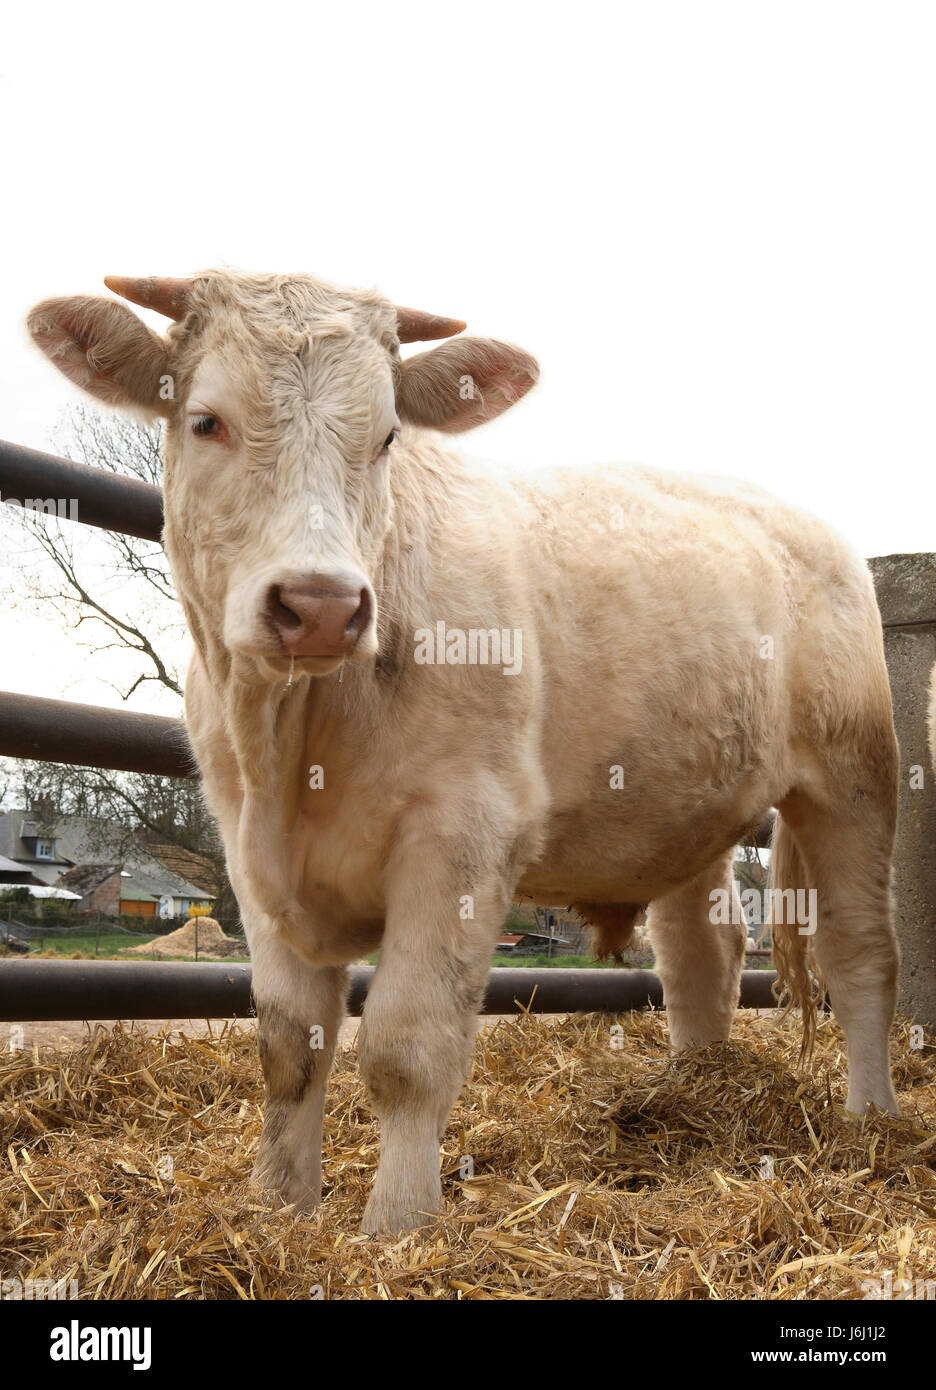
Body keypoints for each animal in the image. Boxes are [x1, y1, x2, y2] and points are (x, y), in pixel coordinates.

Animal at [27, 271, 901, 1234]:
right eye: (206, 420)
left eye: (387, 436)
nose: (322, 605)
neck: (294, 740)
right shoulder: (246, 850)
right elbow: (288, 1046)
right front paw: (279, 1209)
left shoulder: (463, 835)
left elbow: (406, 1049)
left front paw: (396, 1228)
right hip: (688, 811)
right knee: (701, 960)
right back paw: (692, 1089)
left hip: (853, 780)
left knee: (860, 955)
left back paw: (872, 1123)